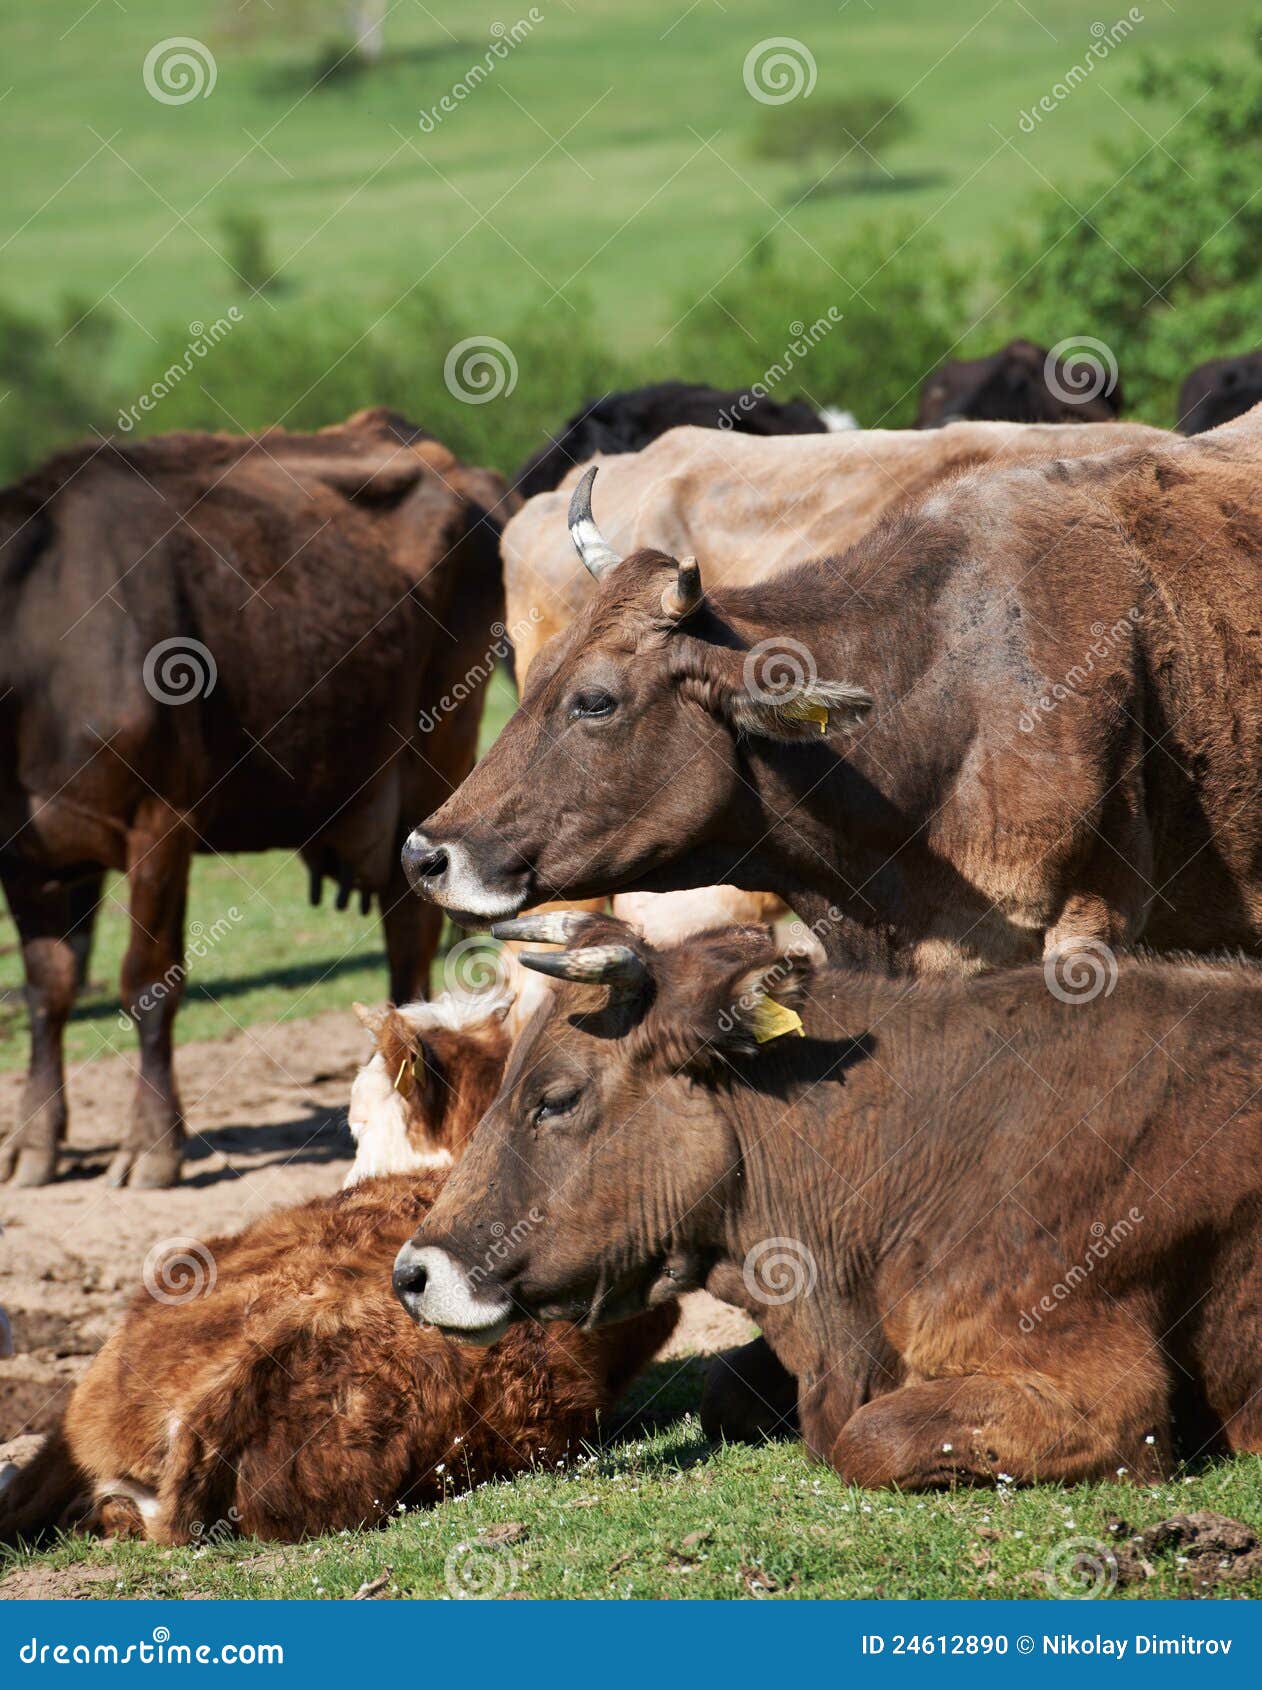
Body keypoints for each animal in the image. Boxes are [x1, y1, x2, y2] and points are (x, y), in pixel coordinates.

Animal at [0, 408, 510, 1188]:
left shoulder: (162, 825)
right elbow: (47, 991)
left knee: (409, 931)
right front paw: (35, 1143)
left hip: (434, 761)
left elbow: (147, 982)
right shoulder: (28, 856)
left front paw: (152, 1146)